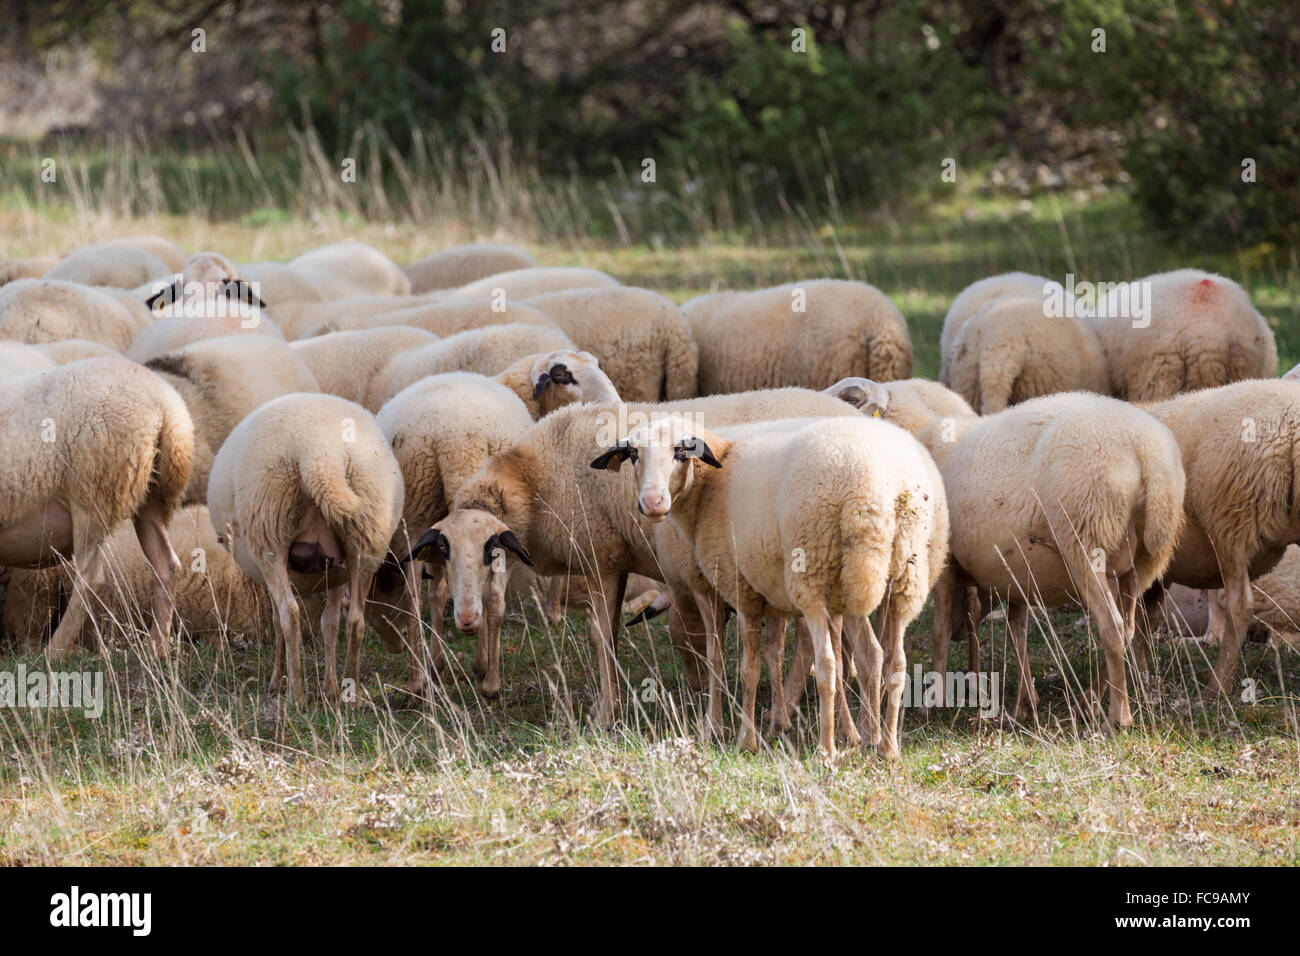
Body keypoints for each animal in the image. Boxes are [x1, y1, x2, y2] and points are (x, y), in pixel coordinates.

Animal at [0, 358, 195, 659]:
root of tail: (167, 405)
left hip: (92, 496)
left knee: (91, 576)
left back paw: (54, 651)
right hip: (150, 499)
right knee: (167, 565)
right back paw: (157, 648)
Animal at [206, 393, 404, 701]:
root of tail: (319, 453)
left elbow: (276, 620)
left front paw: (278, 679)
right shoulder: (337, 573)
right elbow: (330, 623)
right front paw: (330, 688)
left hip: (270, 534)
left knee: (289, 614)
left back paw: (295, 695)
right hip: (364, 544)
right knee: (356, 620)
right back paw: (351, 695)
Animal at [410, 388, 861, 723]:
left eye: (491, 551)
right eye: (445, 553)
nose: (466, 620)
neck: (536, 478)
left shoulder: (600, 558)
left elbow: (600, 636)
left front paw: (604, 714)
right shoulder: (618, 560)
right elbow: (611, 634)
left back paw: (787, 711)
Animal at [594, 414, 948, 758]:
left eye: (681, 451)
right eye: (633, 454)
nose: (652, 503)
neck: (710, 485)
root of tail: (891, 486)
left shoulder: (735, 589)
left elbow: (738, 667)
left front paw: (737, 738)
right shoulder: (770, 592)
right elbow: (771, 654)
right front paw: (776, 726)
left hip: (814, 577)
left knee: (827, 665)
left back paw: (827, 750)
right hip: (900, 580)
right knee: (888, 659)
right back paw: (884, 747)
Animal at [857, 379, 1185, 729]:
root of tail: (1146, 455)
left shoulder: (944, 563)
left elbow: (939, 630)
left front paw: (933, 701)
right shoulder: (1017, 571)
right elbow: (1018, 632)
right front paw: (1024, 705)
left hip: (1085, 543)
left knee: (1112, 627)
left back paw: (1116, 716)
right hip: (1143, 562)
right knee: (1129, 628)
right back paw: (1088, 702)